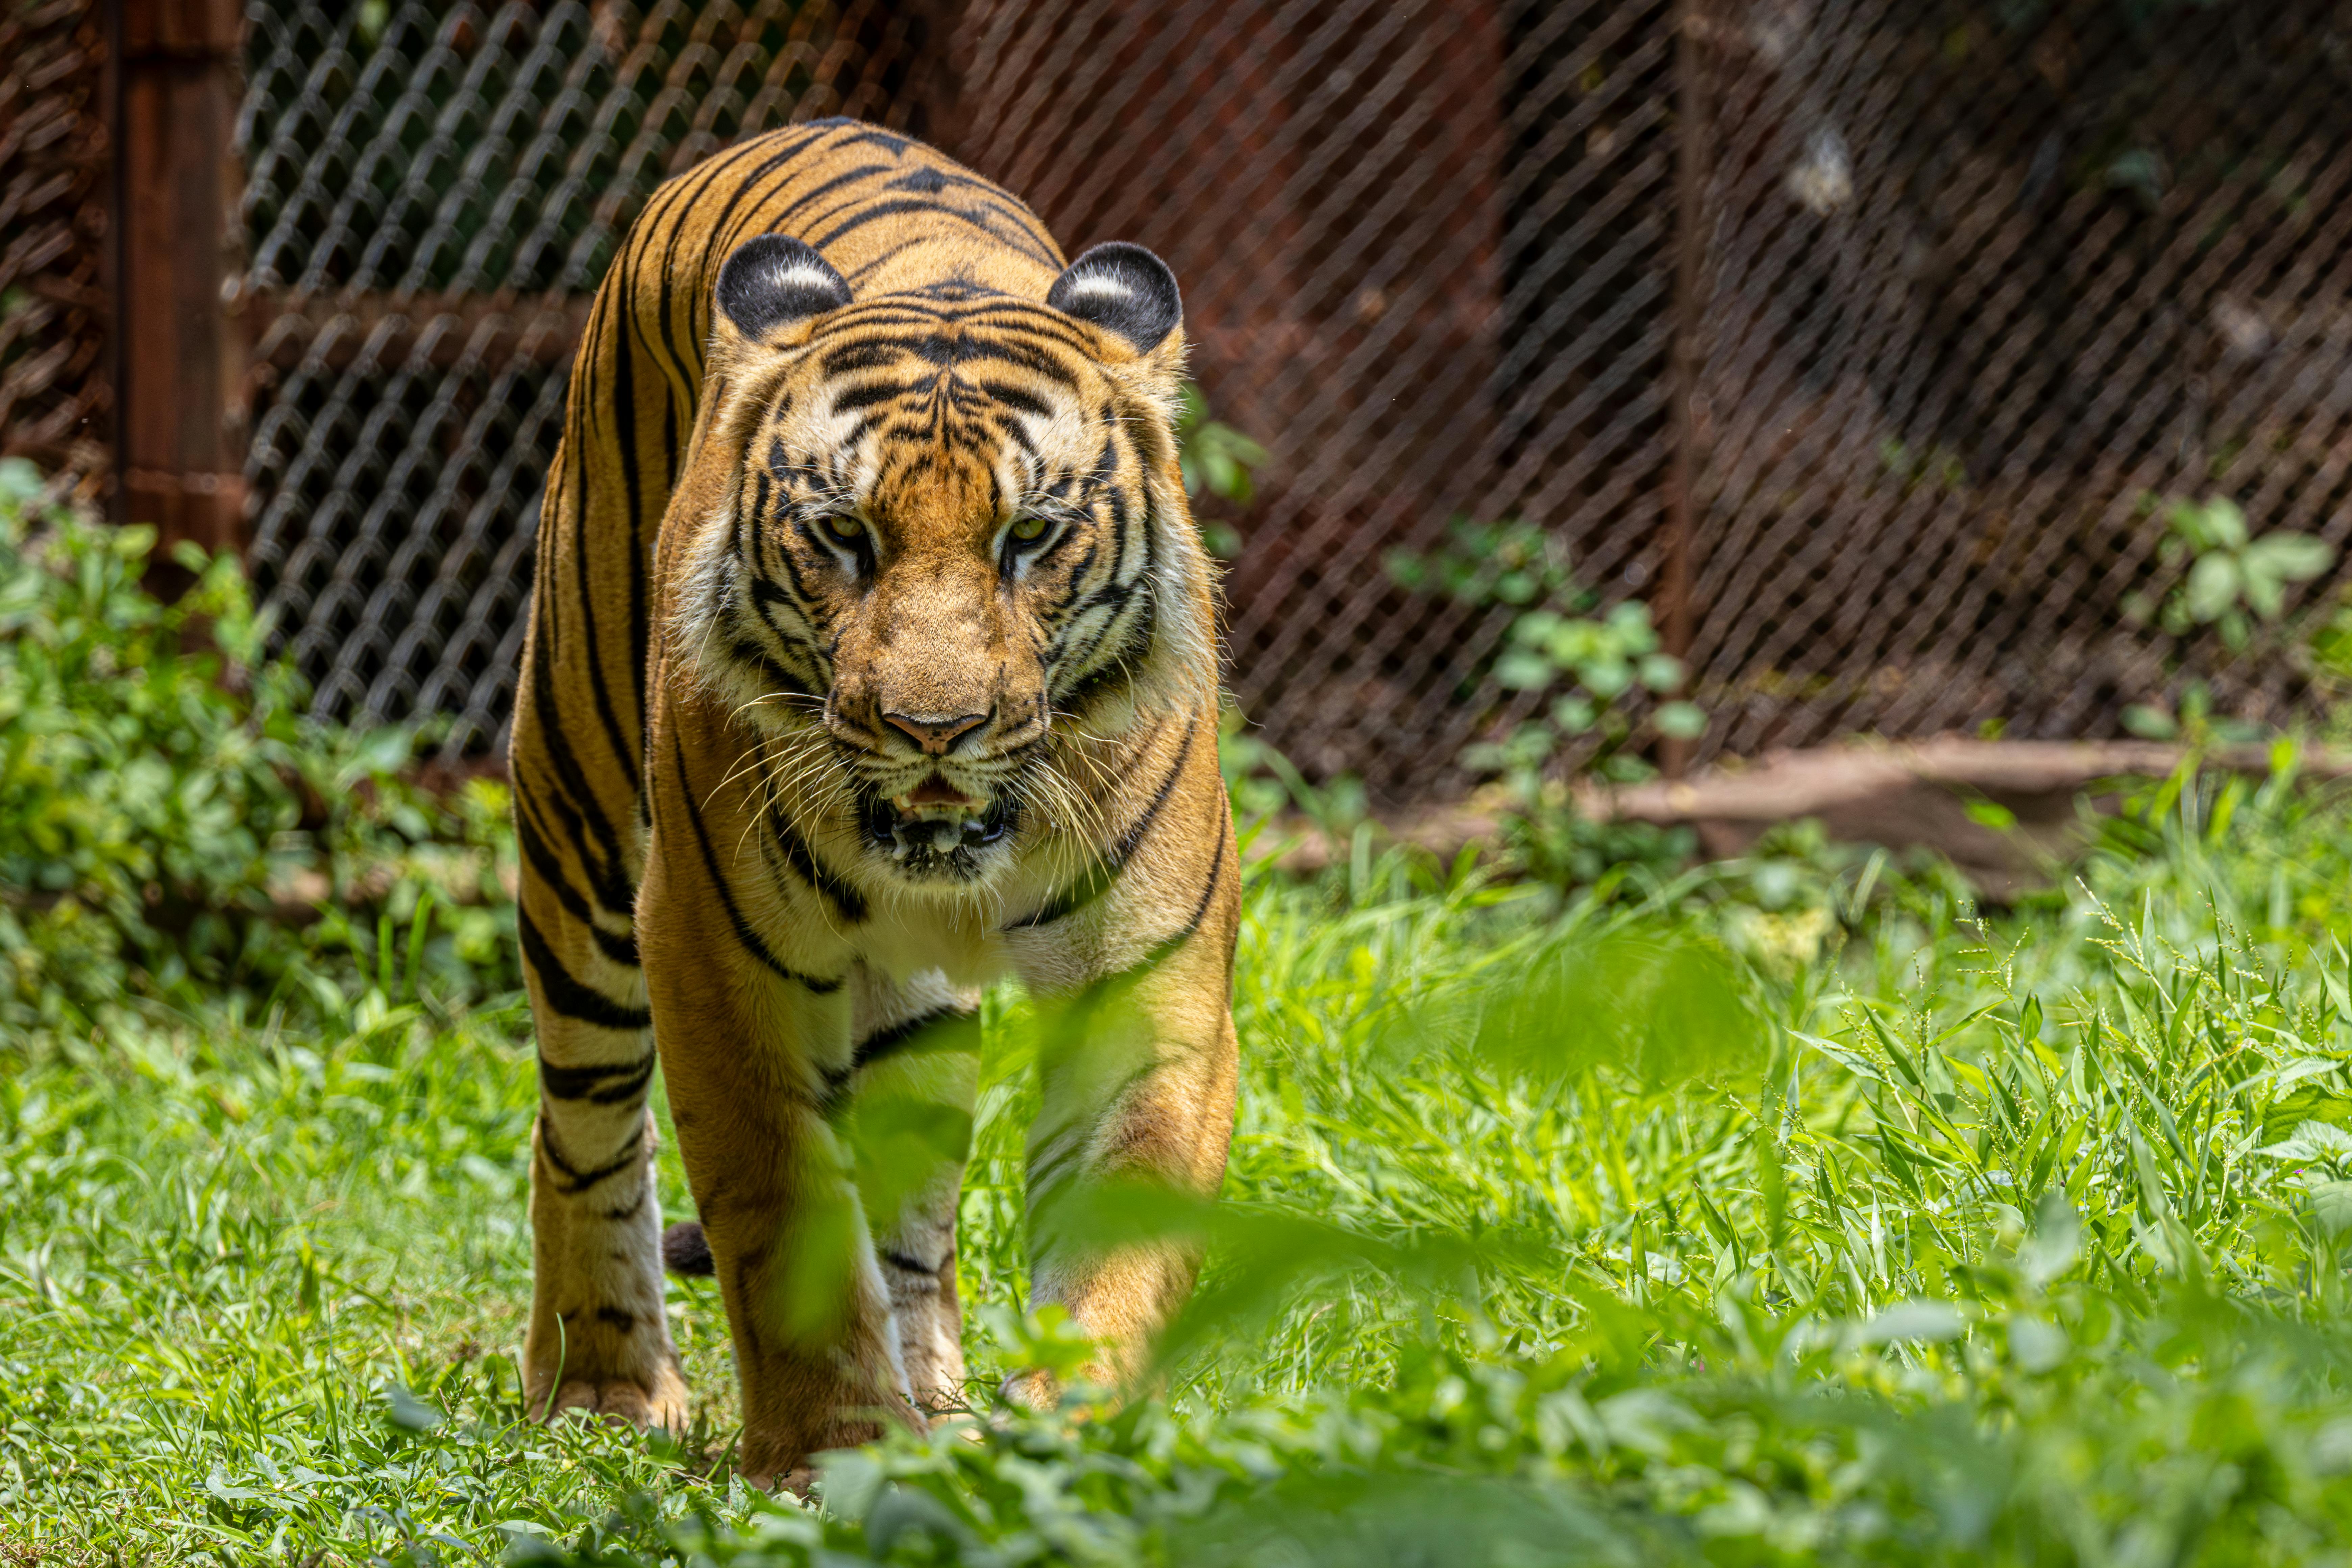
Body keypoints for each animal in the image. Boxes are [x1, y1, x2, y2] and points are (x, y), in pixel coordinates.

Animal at [506, 117, 1241, 1489]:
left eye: (1030, 535)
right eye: (844, 533)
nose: (933, 728)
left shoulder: (1147, 984)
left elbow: (1121, 1228)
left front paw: (1067, 1432)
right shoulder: (710, 952)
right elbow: (782, 1210)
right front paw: (829, 1455)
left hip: (915, 1025)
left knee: (907, 1216)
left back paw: (939, 1407)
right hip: (576, 807)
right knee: (584, 1122)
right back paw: (601, 1385)